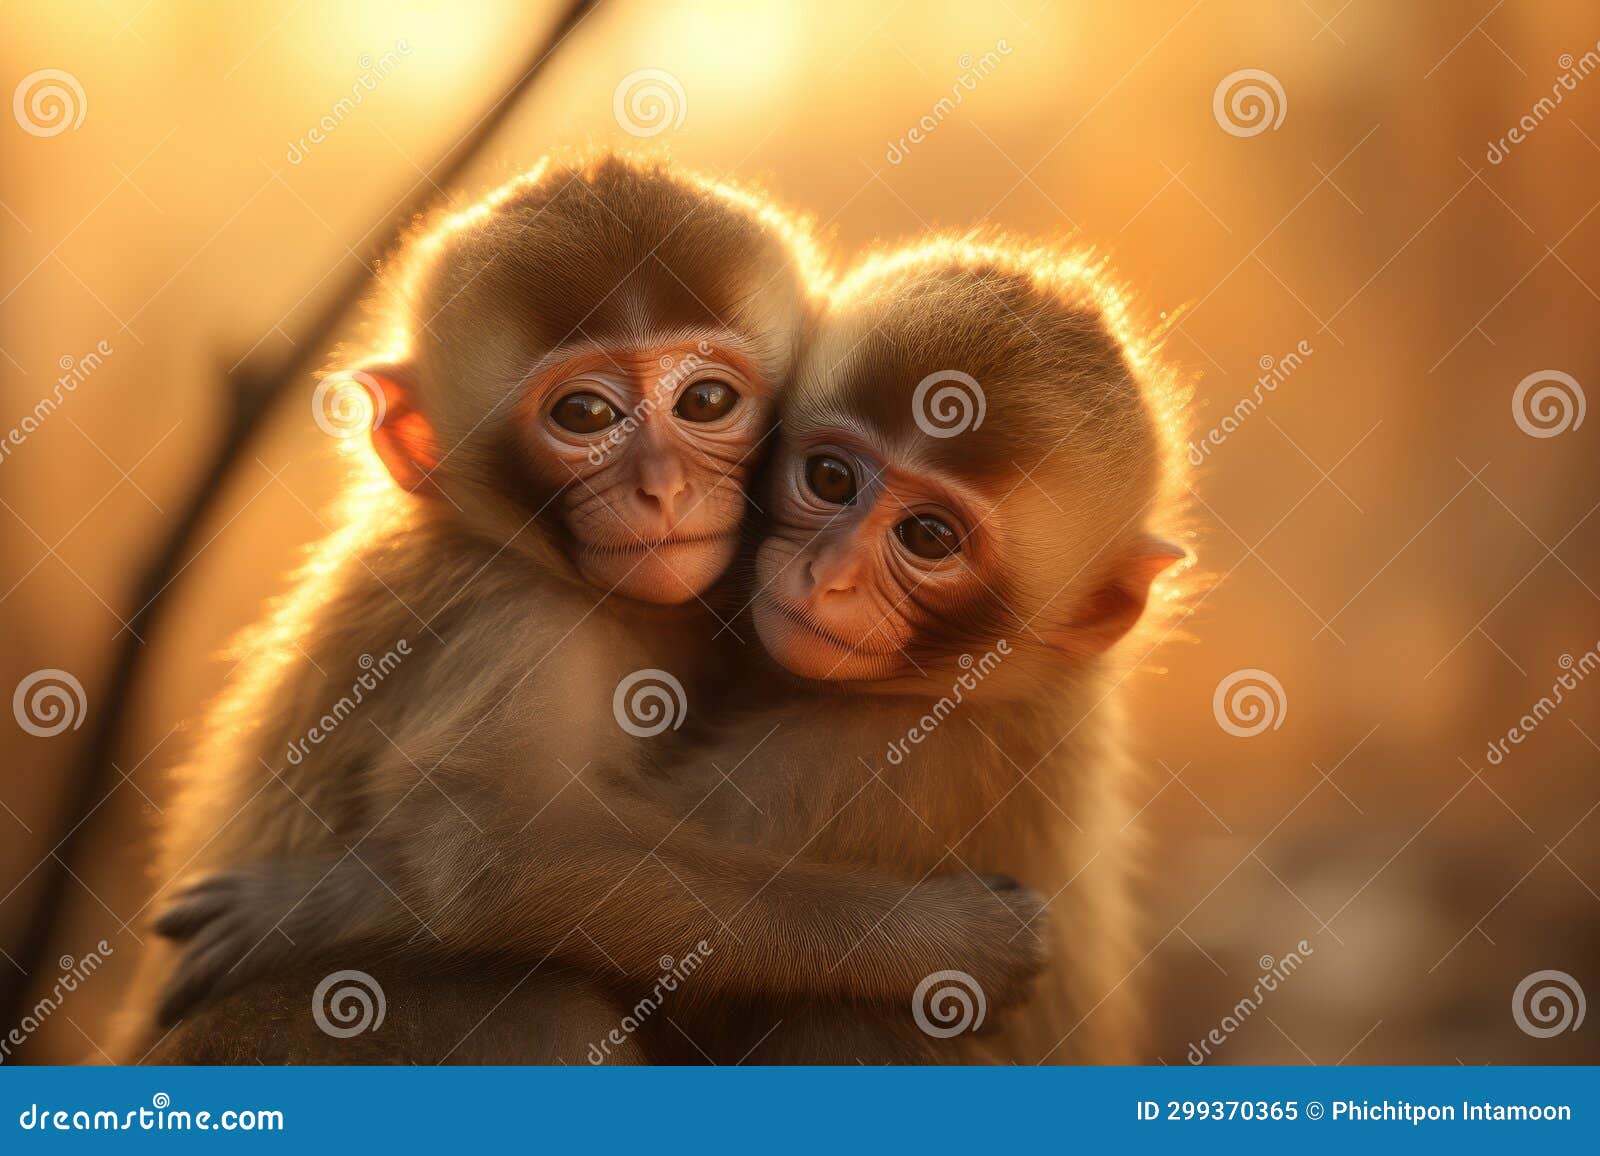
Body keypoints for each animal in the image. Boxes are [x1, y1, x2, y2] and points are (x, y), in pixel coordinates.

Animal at [113, 160, 1050, 1065]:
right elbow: (496, 845)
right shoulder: (519, 618)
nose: (663, 487)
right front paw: (948, 938)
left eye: (705, 402)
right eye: (586, 414)